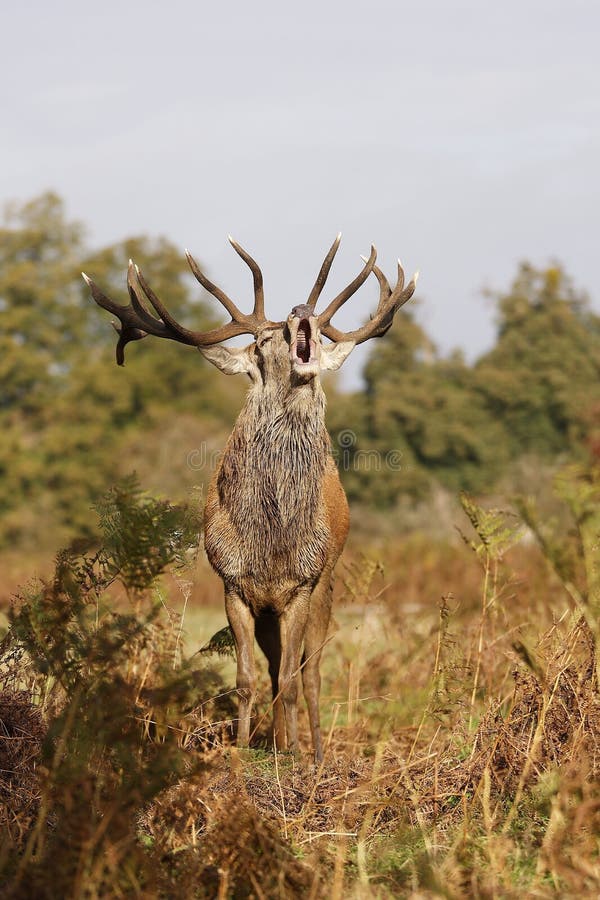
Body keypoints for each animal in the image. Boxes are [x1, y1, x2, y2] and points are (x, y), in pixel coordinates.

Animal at [82, 236, 417, 761]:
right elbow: (245, 678)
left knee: (311, 672)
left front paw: (294, 755)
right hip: (270, 611)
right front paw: (242, 751)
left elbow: (295, 680)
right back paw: (279, 740)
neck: (270, 543)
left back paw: (313, 752)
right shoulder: (234, 585)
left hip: (328, 583)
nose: (300, 310)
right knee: (278, 668)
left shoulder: (301, 585)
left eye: (313, 334)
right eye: (262, 342)